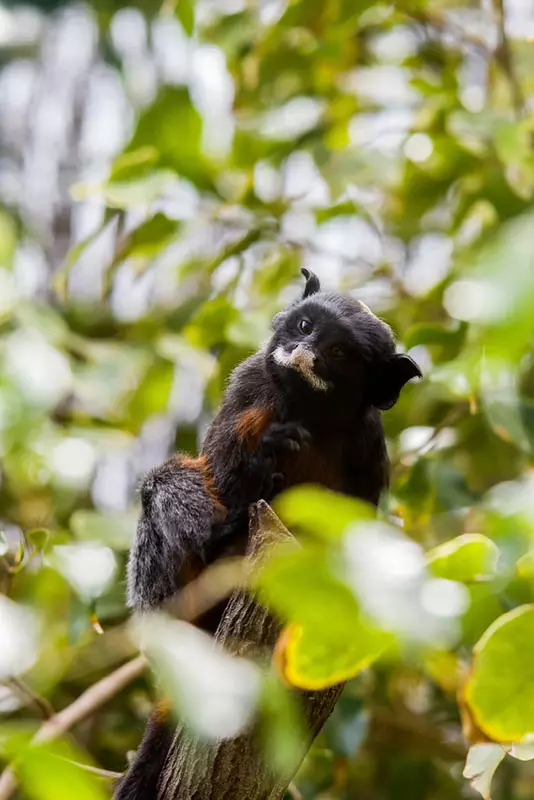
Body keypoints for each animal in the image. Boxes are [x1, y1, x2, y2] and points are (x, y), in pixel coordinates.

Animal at [116, 270, 422, 800]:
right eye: (304, 326)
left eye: (337, 351)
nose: (303, 350)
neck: (310, 412)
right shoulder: (248, 387)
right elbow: (221, 470)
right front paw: (259, 467)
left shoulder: (369, 446)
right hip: (167, 602)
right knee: (165, 482)